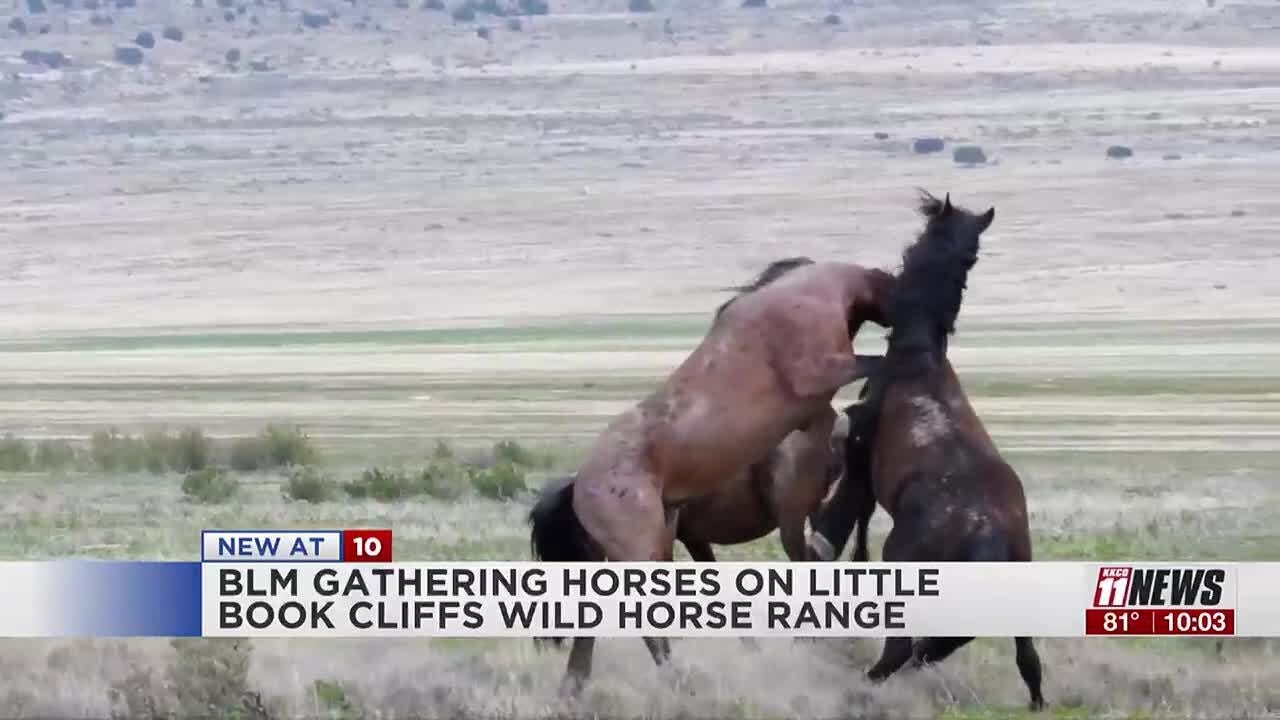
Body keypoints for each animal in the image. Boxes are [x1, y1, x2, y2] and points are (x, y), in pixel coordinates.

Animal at [806, 191, 1046, 711]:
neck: (919, 360)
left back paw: (868, 682)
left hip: (907, 567)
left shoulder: (858, 468)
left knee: (901, 648)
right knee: (1026, 658)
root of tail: (986, 536)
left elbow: (833, 531)